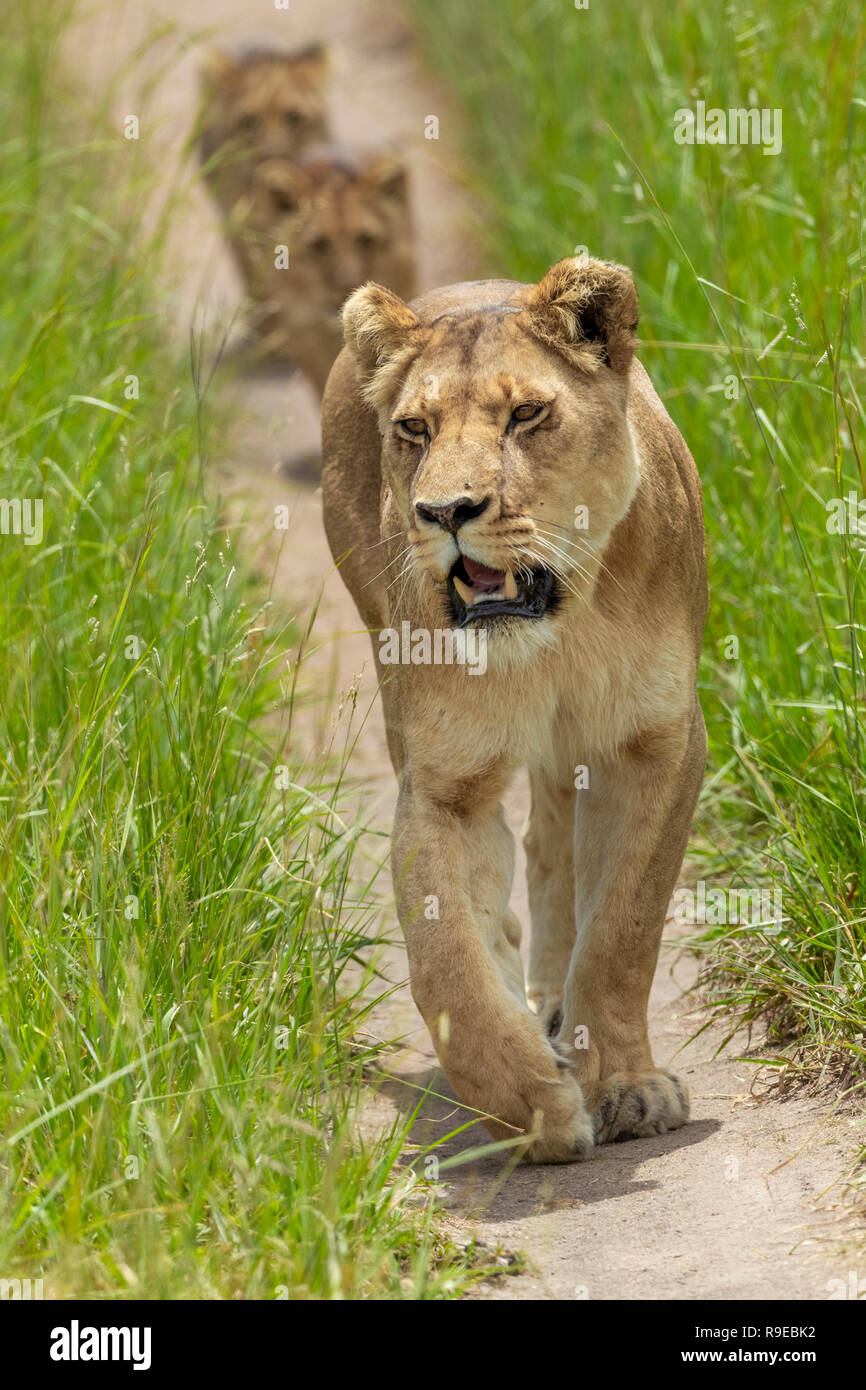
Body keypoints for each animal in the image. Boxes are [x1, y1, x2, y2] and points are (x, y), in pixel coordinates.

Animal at [321, 256, 707, 1162]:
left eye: (526, 414)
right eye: (415, 429)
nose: (444, 512)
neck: (558, 629)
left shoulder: (659, 744)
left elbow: (622, 928)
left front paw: (625, 1089)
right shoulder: (444, 782)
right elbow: (447, 960)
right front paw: (532, 1102)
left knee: (559, 849)